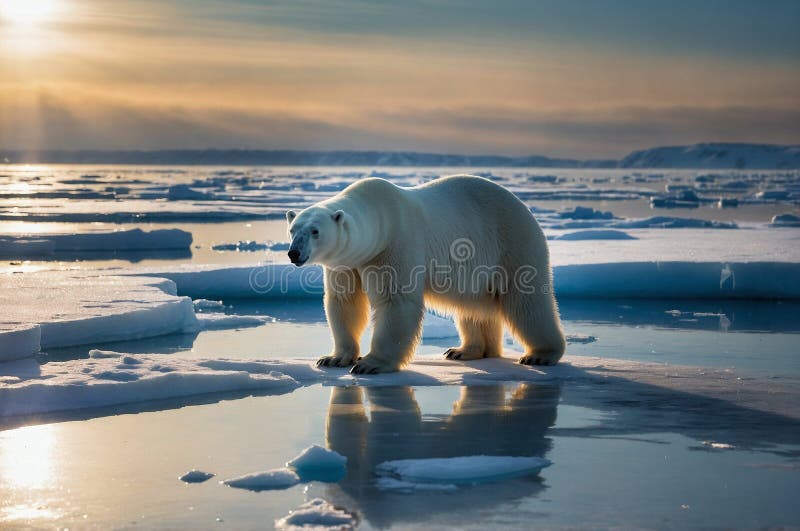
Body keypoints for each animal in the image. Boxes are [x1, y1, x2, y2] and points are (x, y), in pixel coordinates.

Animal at [285, 175, 565, 374]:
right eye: (292, 229)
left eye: (315, 231)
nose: (293, 253)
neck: (380, 216)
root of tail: (525, 208)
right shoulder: (347, 263)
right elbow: (344, 302)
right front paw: (333, 358)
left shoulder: (395, 244)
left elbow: (395, 301)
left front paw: (370, 364)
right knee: (473, 307)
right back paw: (465, 351)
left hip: (512, 243)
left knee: (527, 302)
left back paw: (540, 354)